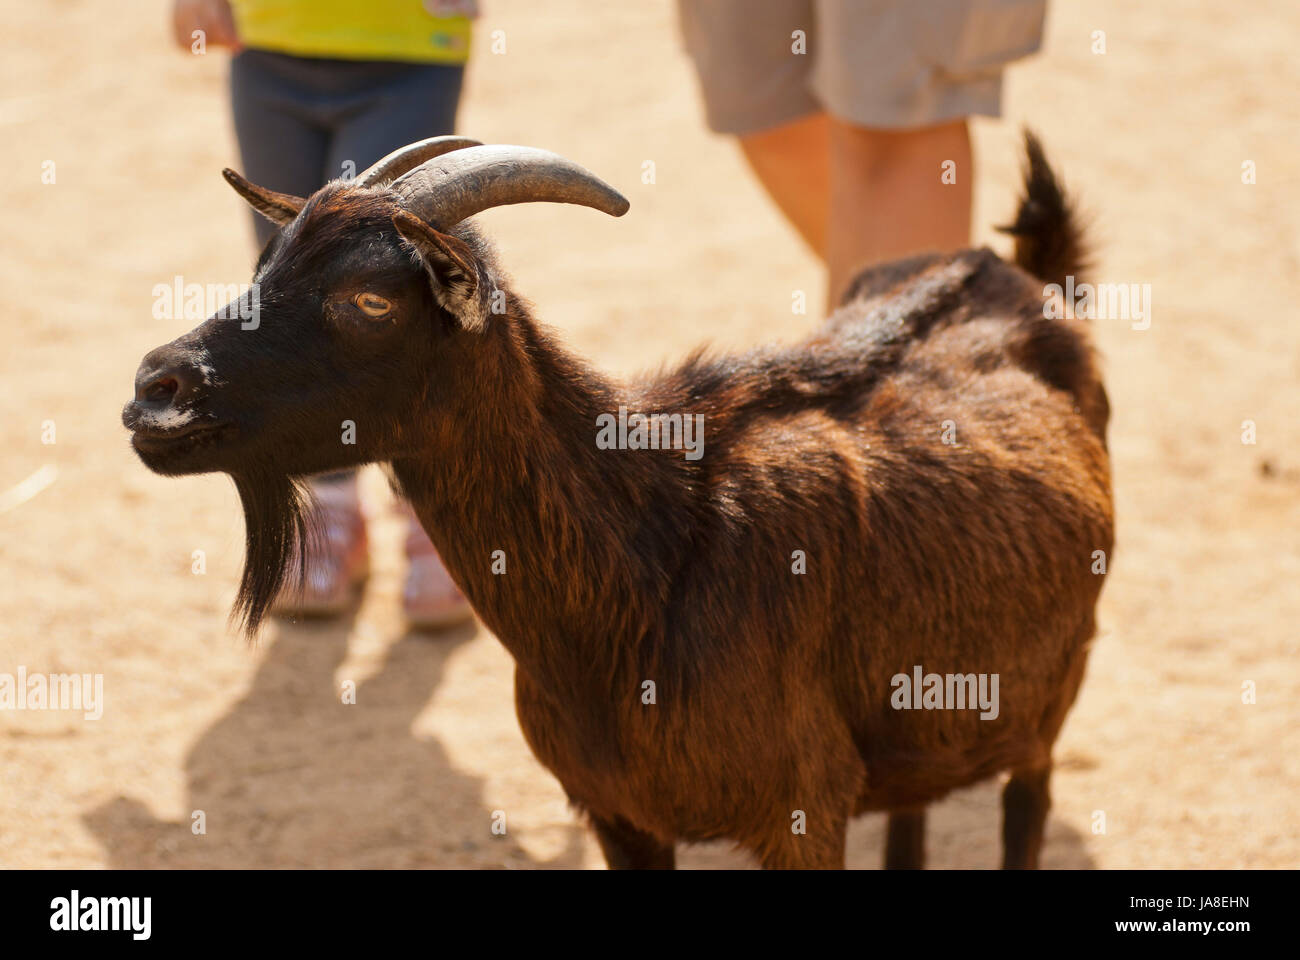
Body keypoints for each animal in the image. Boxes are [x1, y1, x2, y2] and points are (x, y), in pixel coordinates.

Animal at [123, 132, 1112, 869]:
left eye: (369, 299)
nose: (156, 393)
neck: (656, 556)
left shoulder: (804, 809)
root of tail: (1017, 271)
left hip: (1049, 701)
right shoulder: (617, 813)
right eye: (268, 263)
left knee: (1028, 806)